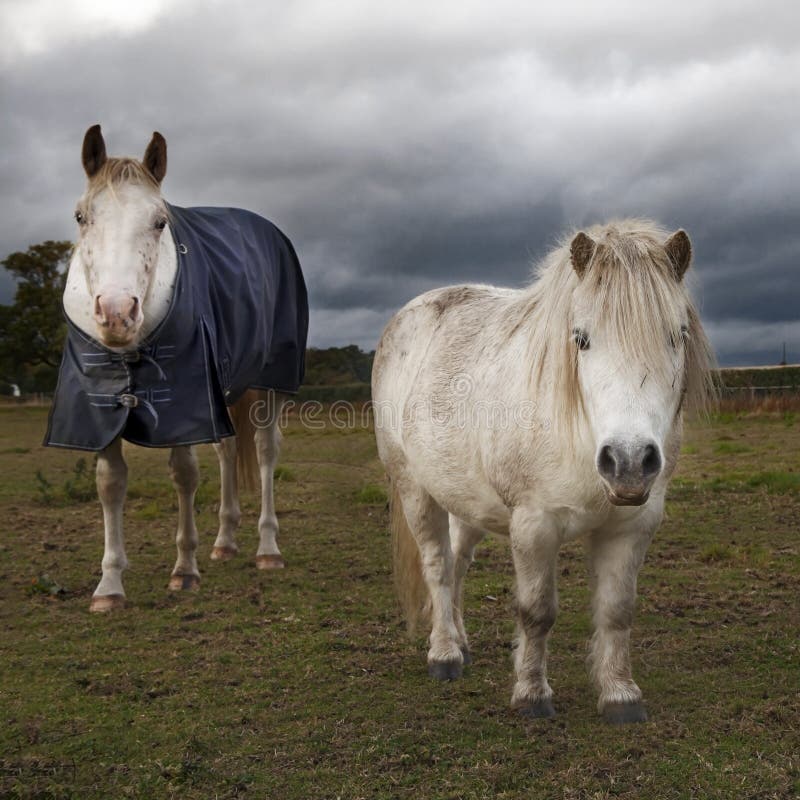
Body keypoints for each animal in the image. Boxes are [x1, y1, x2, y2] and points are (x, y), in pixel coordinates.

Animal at [46, 125, 308, 612]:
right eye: (80, 216)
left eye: (160, 221)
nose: (117, 314)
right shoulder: (99, 410)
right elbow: (110, 484)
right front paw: (109, 585)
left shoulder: (184, 402)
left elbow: (184, 475)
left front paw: (185, 569)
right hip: (226, 389)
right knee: (228, 451)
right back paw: (225, 541)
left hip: (270, 385)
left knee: (265, 451)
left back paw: (267, 548)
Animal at [372, 219, 715, 723]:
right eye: (582, 338)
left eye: (678, 335)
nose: (629, 461)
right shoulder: (534, 524)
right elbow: (536, 612)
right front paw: (532, 695)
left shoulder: (633, 524)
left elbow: (617, 610)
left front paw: (620, 695)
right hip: (416, 490)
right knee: (437, 565)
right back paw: (445, 654)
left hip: (467, 501)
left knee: (457, 563)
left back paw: (461, 642)